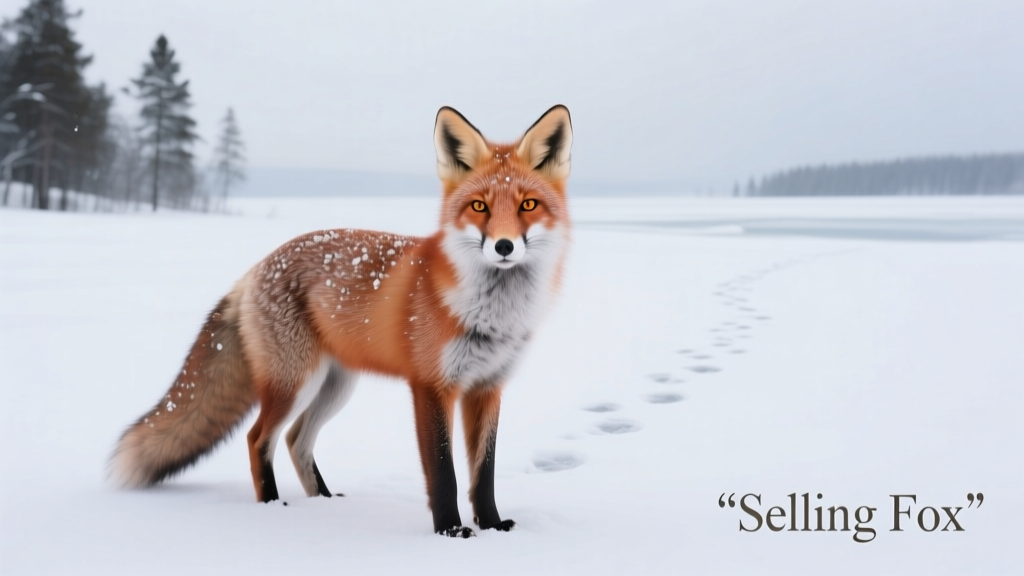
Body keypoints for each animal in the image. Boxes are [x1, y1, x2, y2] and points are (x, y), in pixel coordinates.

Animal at [110, 105, 572, 538]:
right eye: (479, 206)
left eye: (528, 205)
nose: (504, 246)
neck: (491, 315)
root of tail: (259, 265)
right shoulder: (430, 385)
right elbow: (444, 472)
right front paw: (450, 532)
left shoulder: (487, 387)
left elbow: (484, 472)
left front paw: (492, 527)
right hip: (294, 382)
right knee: (259, 438)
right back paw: (272, 507)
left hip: (335, 387)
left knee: (296, 440)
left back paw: (325, 503)